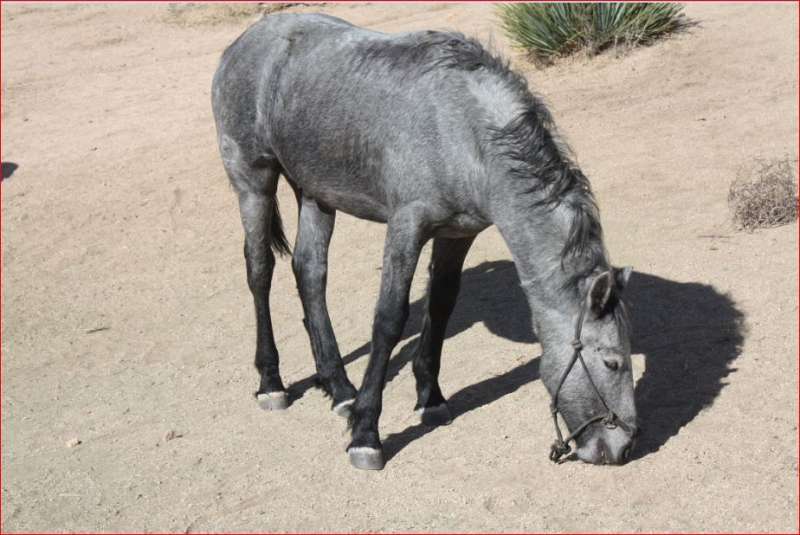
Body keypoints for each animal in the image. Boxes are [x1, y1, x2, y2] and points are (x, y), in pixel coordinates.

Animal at [211, 12, 638, 470]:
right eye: (612, 361)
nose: (623, 448)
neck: (462, 131)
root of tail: (243, 42)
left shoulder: (456, 233)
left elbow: (441, 304)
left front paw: (430, 398)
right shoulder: (406, 225)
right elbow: (388, 319)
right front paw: (366, 434)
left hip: (315, 192)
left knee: (310, 272)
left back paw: (340, 389)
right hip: (253, 182)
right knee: (260, 271)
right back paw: (271, 382)